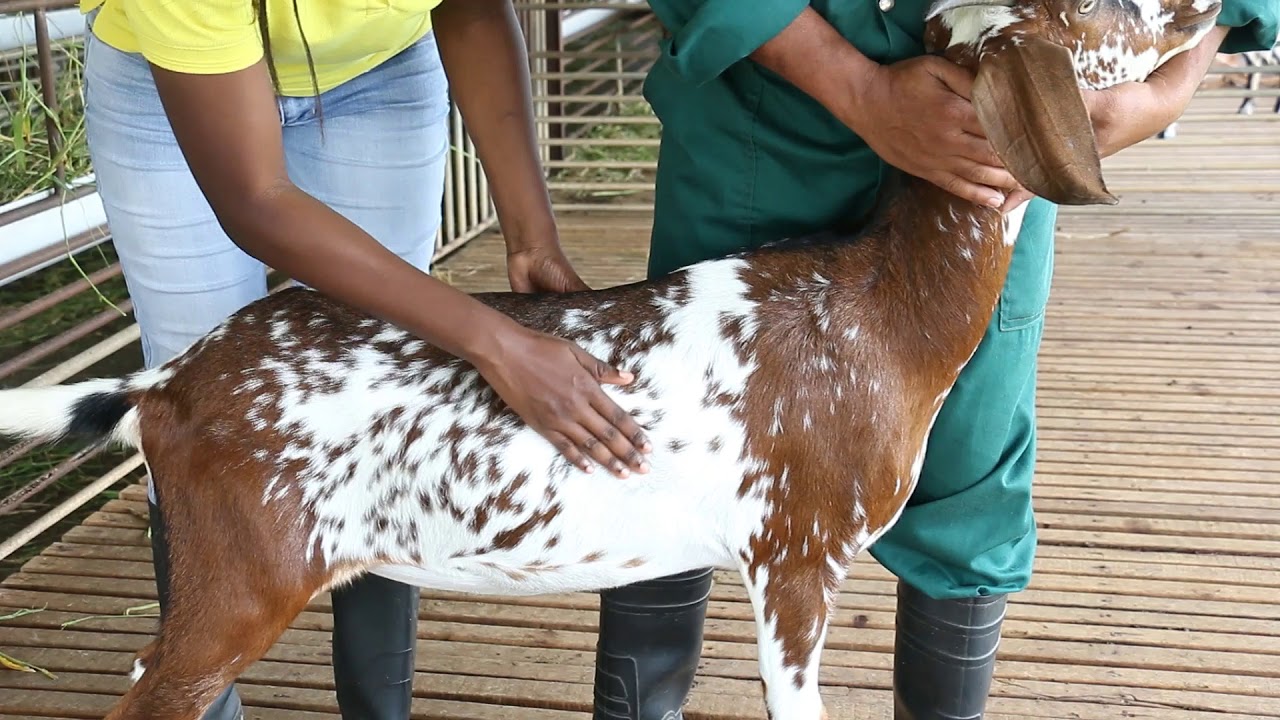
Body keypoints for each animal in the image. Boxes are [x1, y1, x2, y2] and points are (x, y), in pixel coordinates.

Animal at [0, 0, 1220, 717]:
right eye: (1098, 6)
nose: (1208, 7)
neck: (880, 317)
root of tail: (162, 384)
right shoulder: (795, 550)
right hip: (240, 574)